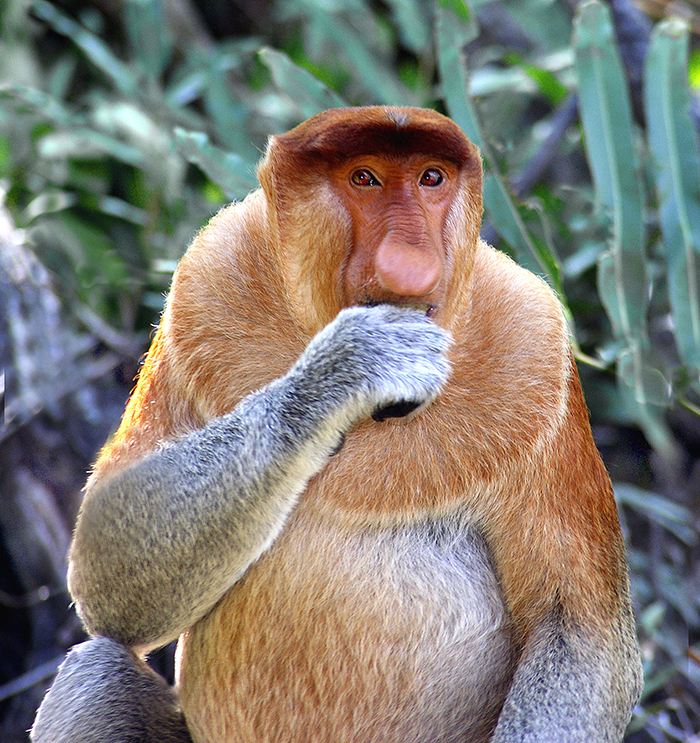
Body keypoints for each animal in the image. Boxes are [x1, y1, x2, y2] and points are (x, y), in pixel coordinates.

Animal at [32, 106, 643, 743]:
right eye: (364, 178)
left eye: (430, 178)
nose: (409, 265)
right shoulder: (204, 283)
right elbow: (107, 555)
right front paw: (355, 362)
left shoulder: (540, 353)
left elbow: (576, 632)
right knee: (97, 669)